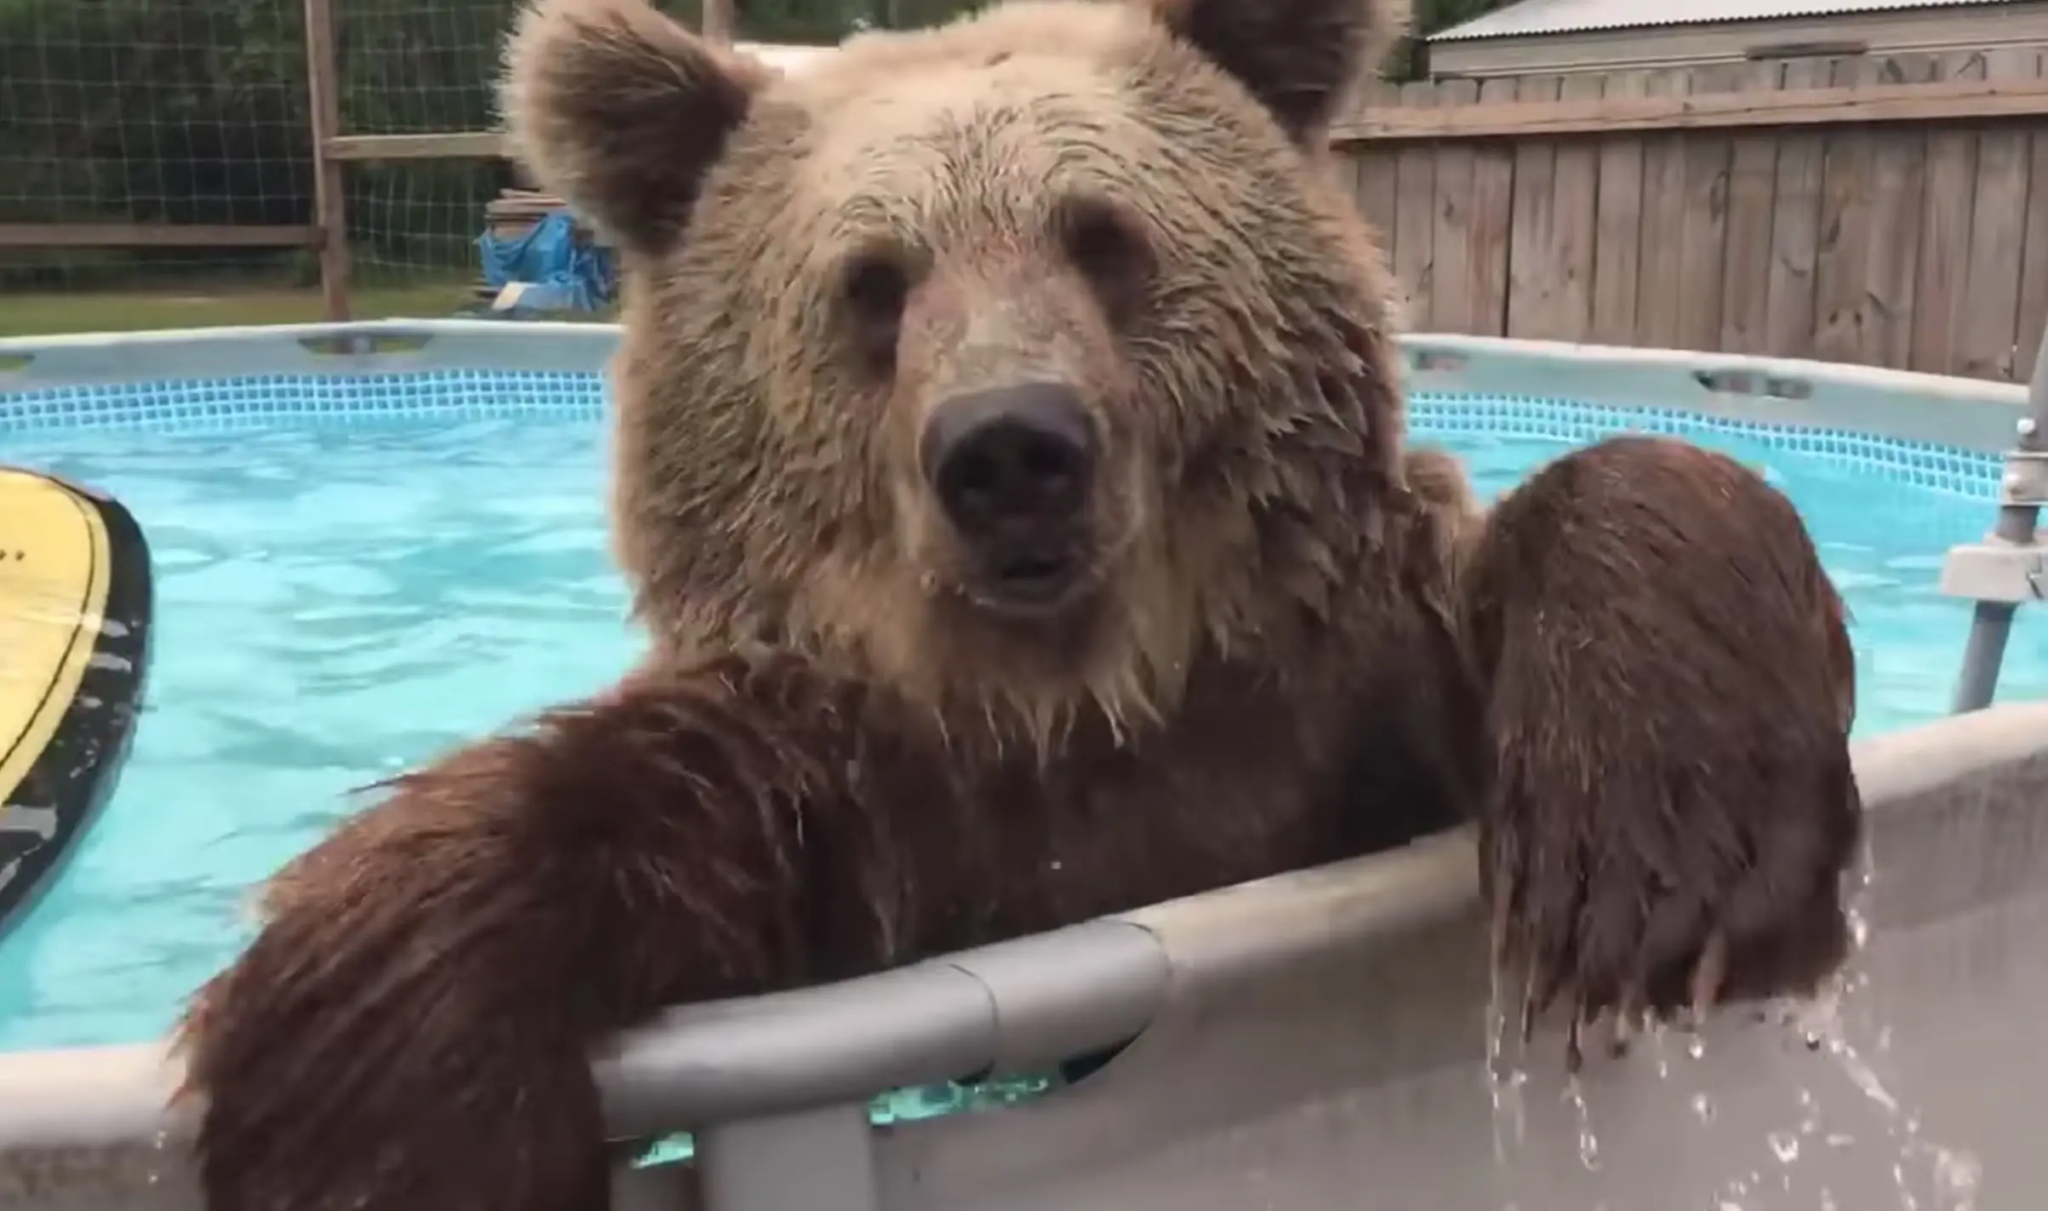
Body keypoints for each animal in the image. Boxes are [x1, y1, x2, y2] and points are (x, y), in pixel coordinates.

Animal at [165, 0, 1863, 1208]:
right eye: (872, 281)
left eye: (1104, 237)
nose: (1012, 450)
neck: (1086, 698)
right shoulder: (863, 803)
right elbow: (553, 835)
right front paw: (392, 1131)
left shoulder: (1337, 698)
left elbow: (1599, 533)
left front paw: (1658, 872)